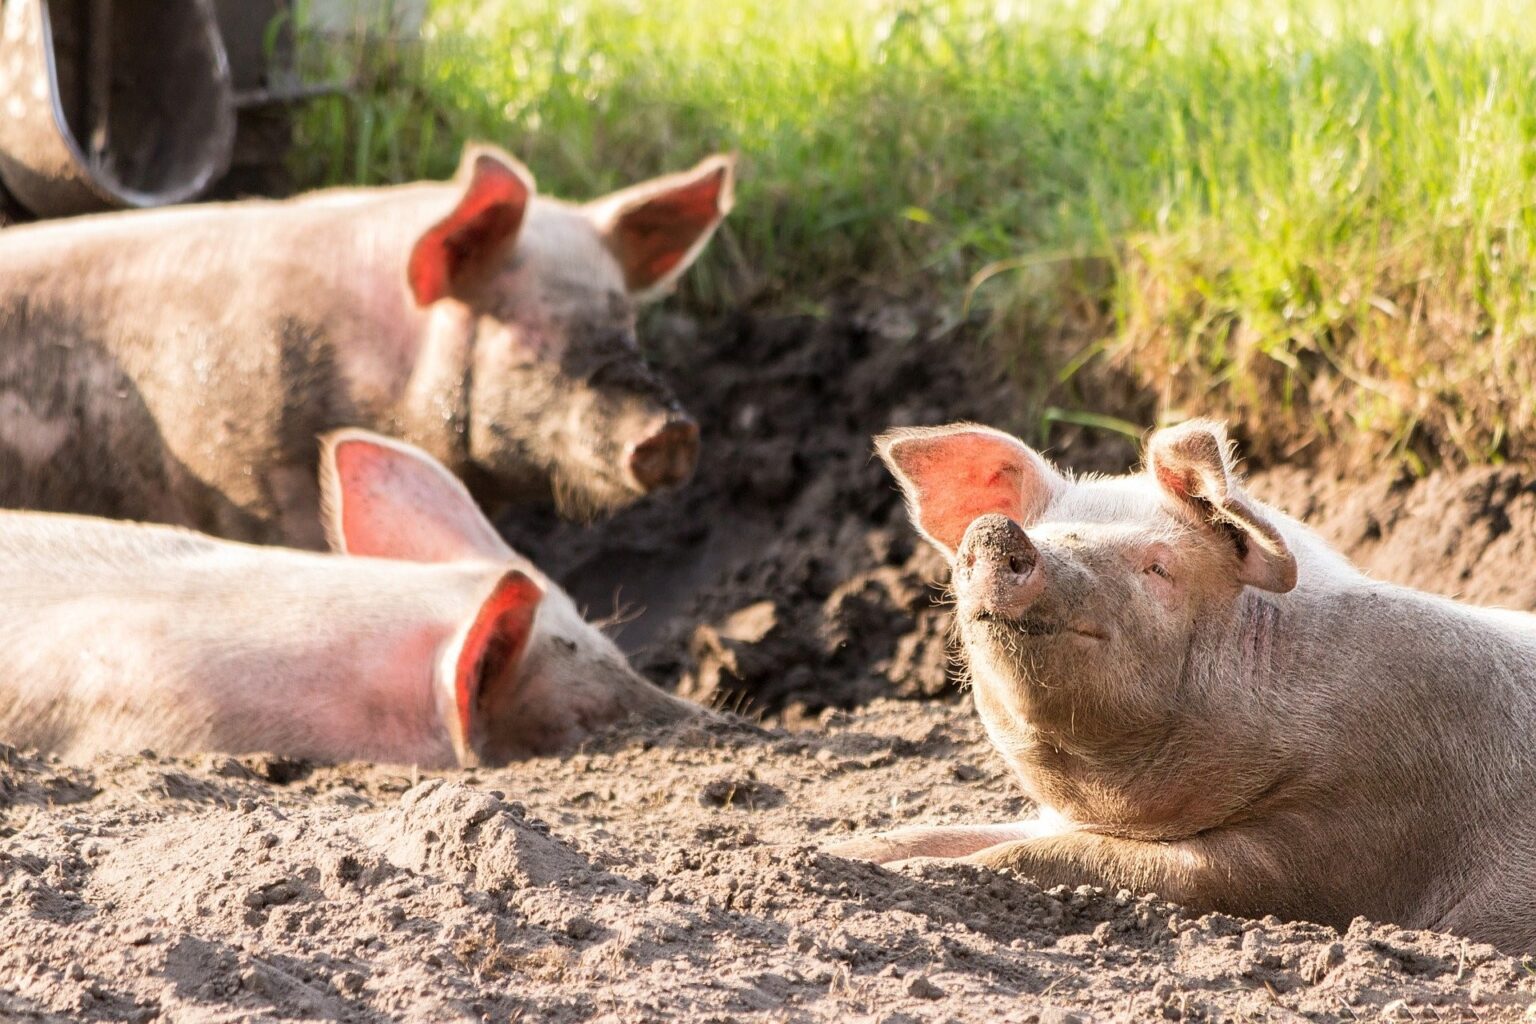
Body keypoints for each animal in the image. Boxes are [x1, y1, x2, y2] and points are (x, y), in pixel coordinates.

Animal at [831, 419, 1536, 952]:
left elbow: (1052, 858)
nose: (997, 528)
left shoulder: (1345, 837)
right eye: (1047, 531)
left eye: (1158, 567)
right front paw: (836, 851)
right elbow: (946, 833)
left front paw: (923, 873)